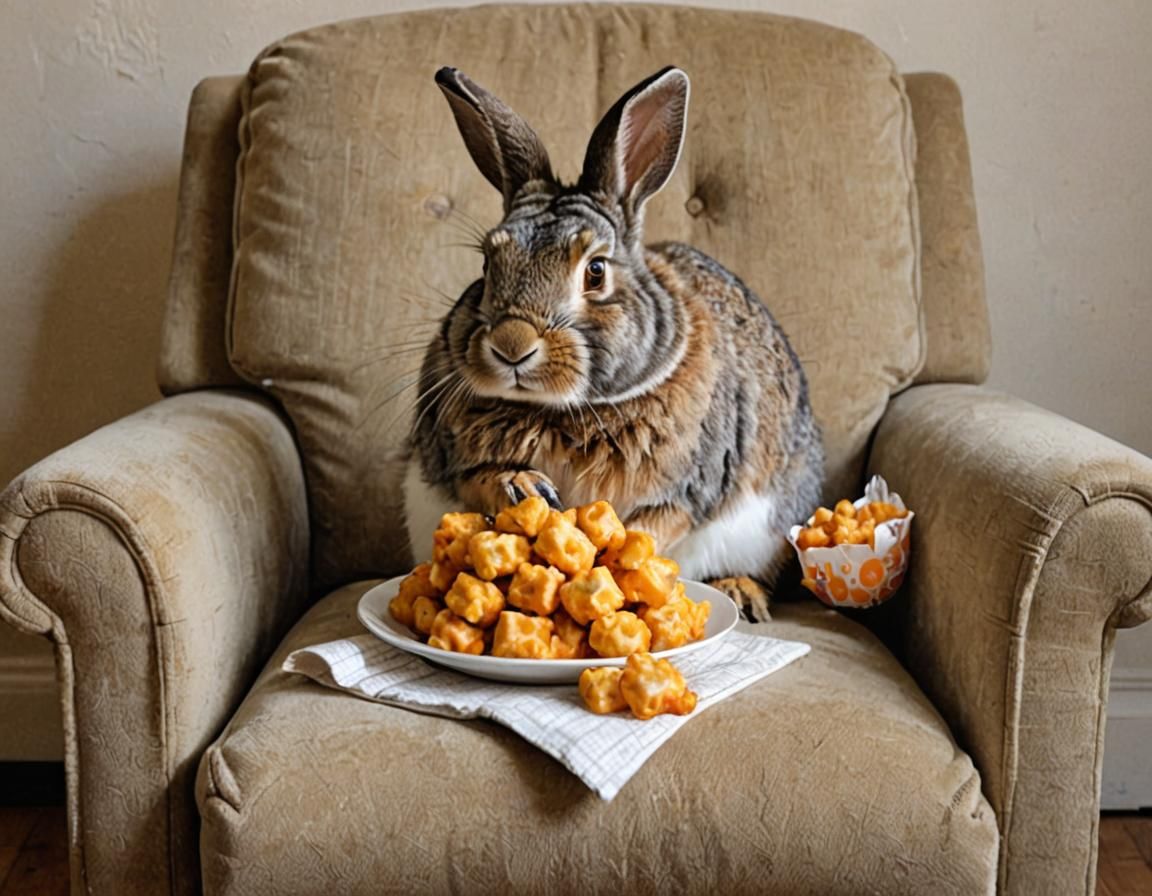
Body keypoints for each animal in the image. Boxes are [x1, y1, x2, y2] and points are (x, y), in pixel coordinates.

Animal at [402, 65, 824, 621]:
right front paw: (525, 487)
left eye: (596, 272)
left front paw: (614, 551)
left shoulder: (692, 485)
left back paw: (740, 592)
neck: (558, 410)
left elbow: (657, 522)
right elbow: (481, 477)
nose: (511, 346)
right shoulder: (452, 460)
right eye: (487, 265)